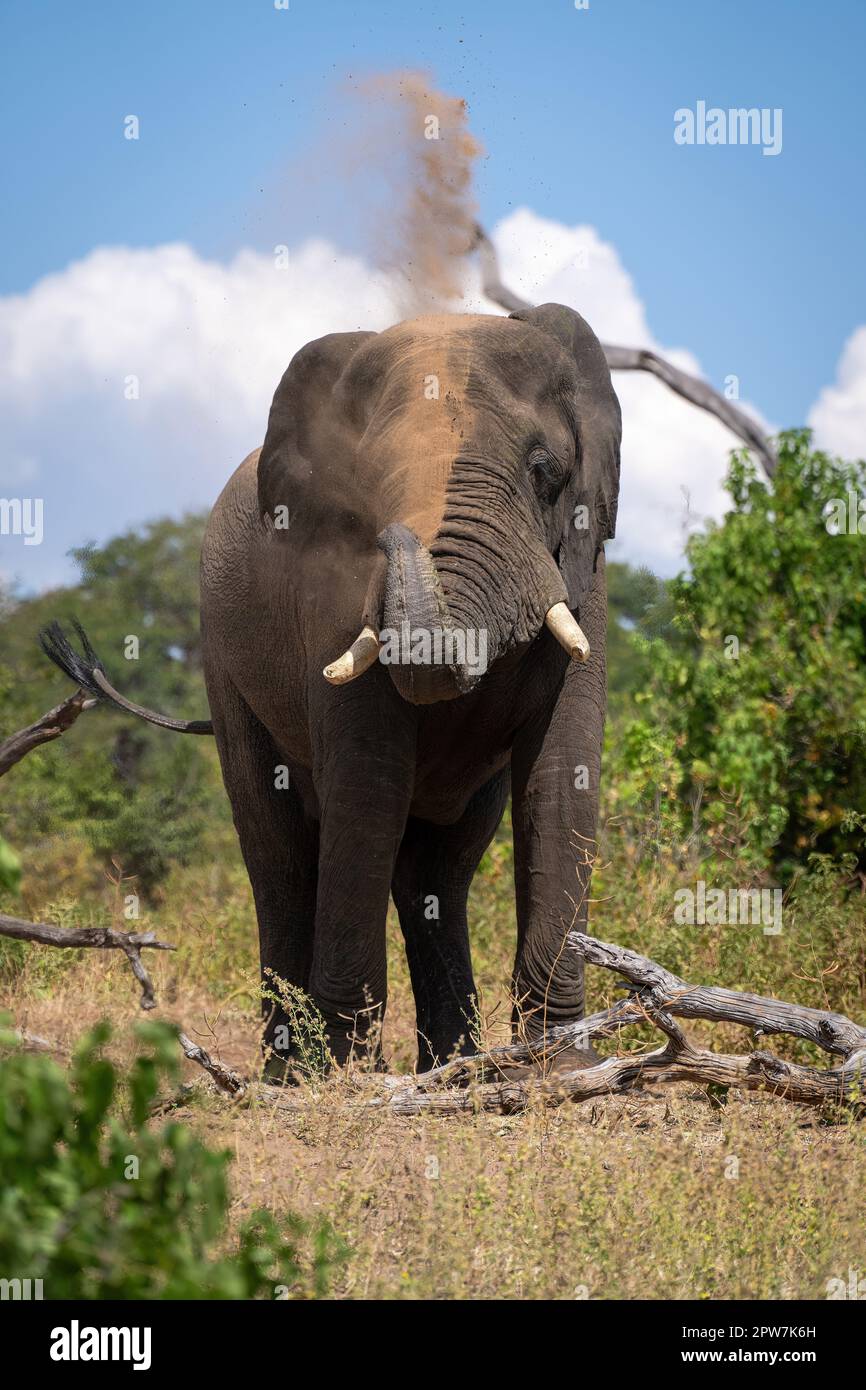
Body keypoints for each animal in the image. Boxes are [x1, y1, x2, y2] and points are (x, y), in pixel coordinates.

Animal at [44, 302, 622, 1076]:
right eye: (369, 491)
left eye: (545, 472)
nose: (398, 538)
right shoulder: (331, 594)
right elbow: (368, 782)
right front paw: (350, 1078)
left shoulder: (584, 568)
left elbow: (562, 775)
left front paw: (562, 1069)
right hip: (221, 656)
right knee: (281, 858)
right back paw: (292, 1074)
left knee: (439, 870)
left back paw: (450, 1066)